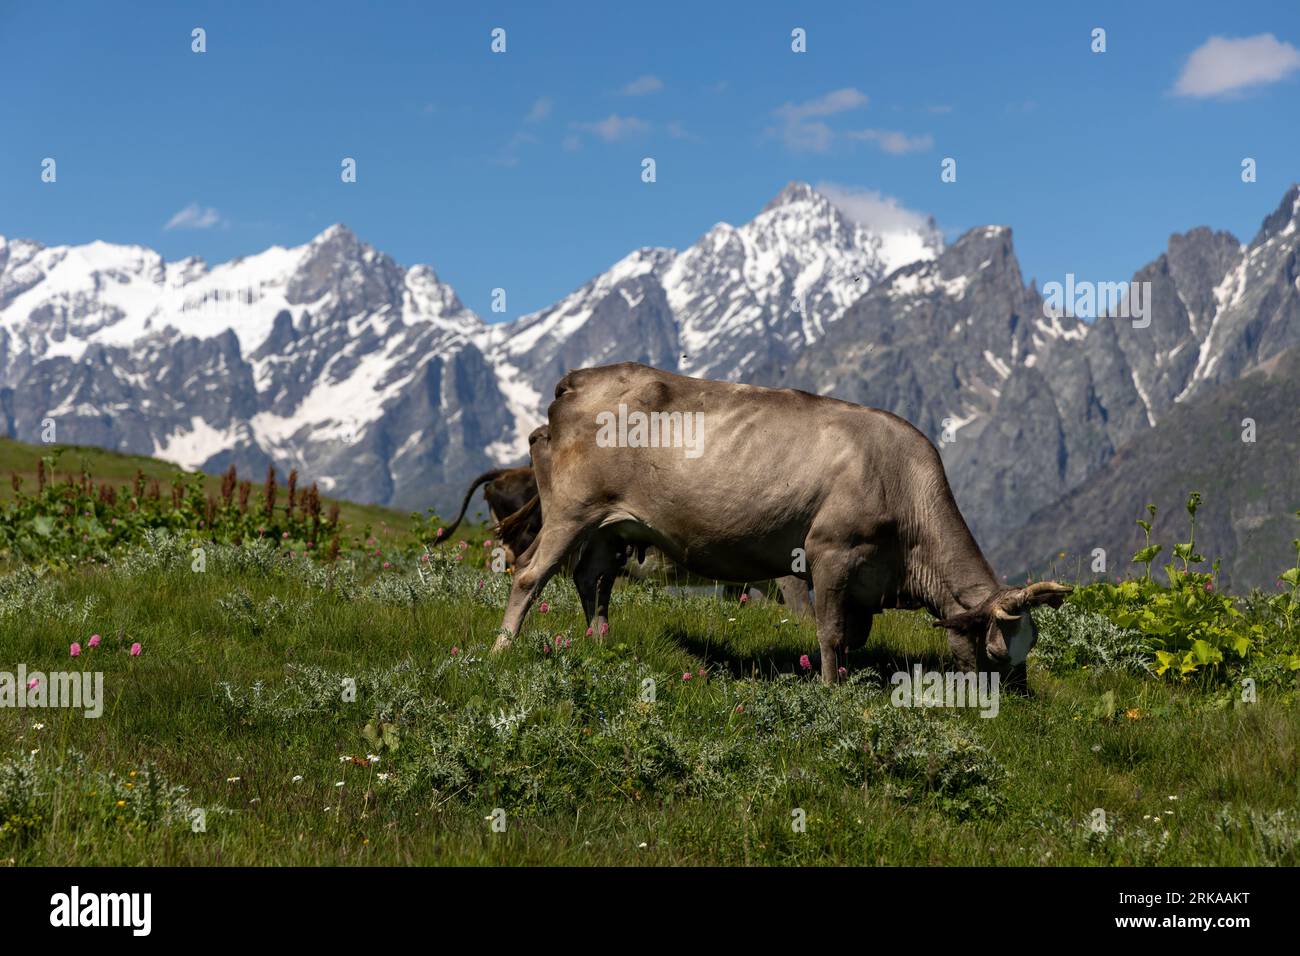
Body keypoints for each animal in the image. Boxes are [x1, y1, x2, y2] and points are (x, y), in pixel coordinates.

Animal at [493, 362, 1070, 684]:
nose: (1012, 701)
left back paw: (600, 645)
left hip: (610, 526)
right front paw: (832, 691)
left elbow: (851, 637)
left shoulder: (864, 585)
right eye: (996, 652)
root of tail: (578, 380)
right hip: (572, 511)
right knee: (529, 575)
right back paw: (501, 652)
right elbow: (831, 633)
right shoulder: (831, 552)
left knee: (592, 579)